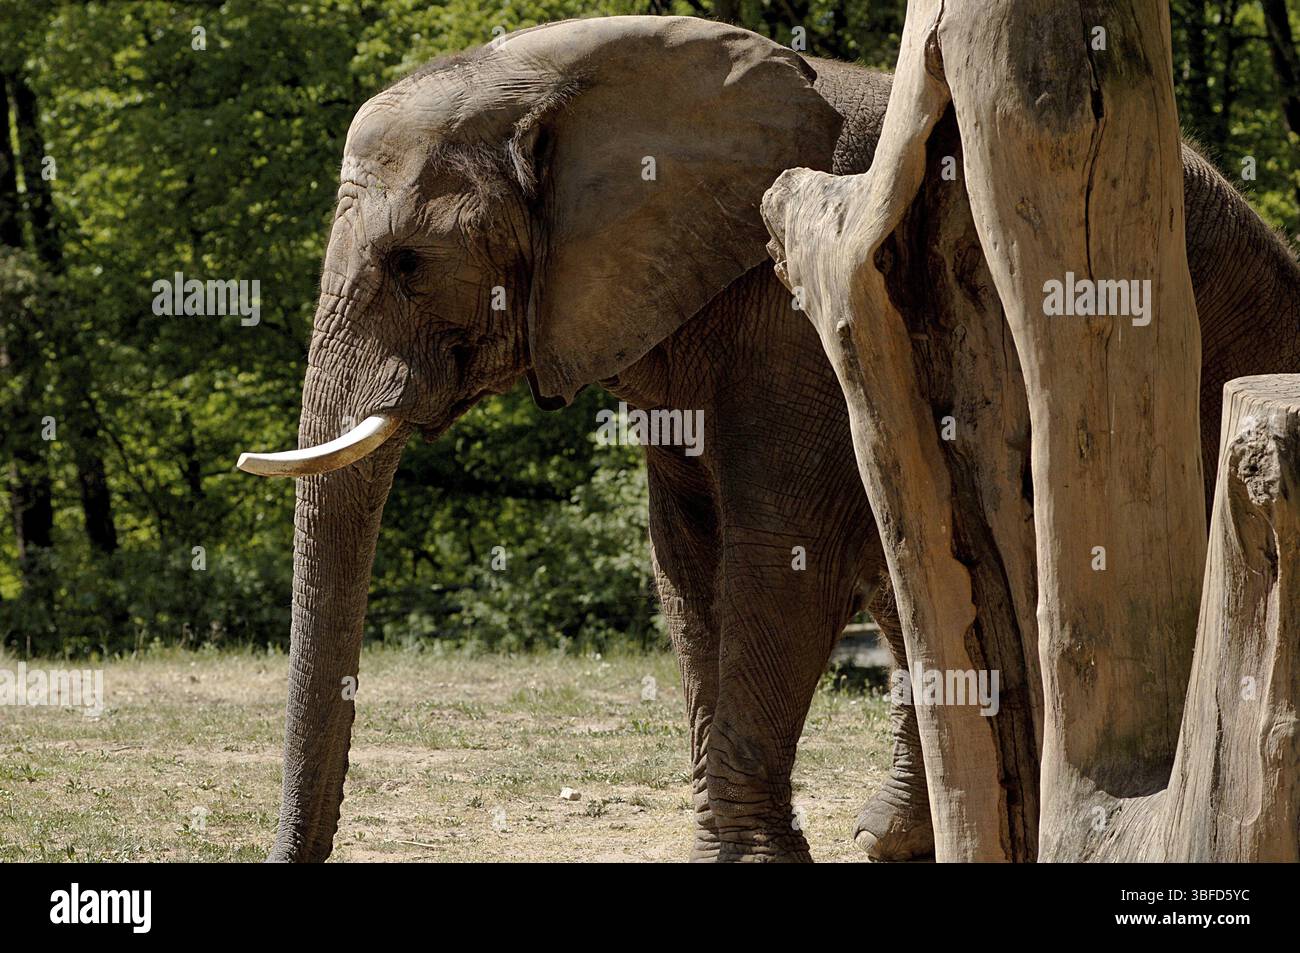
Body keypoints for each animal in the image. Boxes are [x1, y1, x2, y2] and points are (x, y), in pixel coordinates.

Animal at [237, 15, 1300, 862]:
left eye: (409, 262)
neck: (559, 81)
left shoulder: (805, 310)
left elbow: (781, 557)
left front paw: (749, 861)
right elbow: (687, 555)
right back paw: (892, 835)